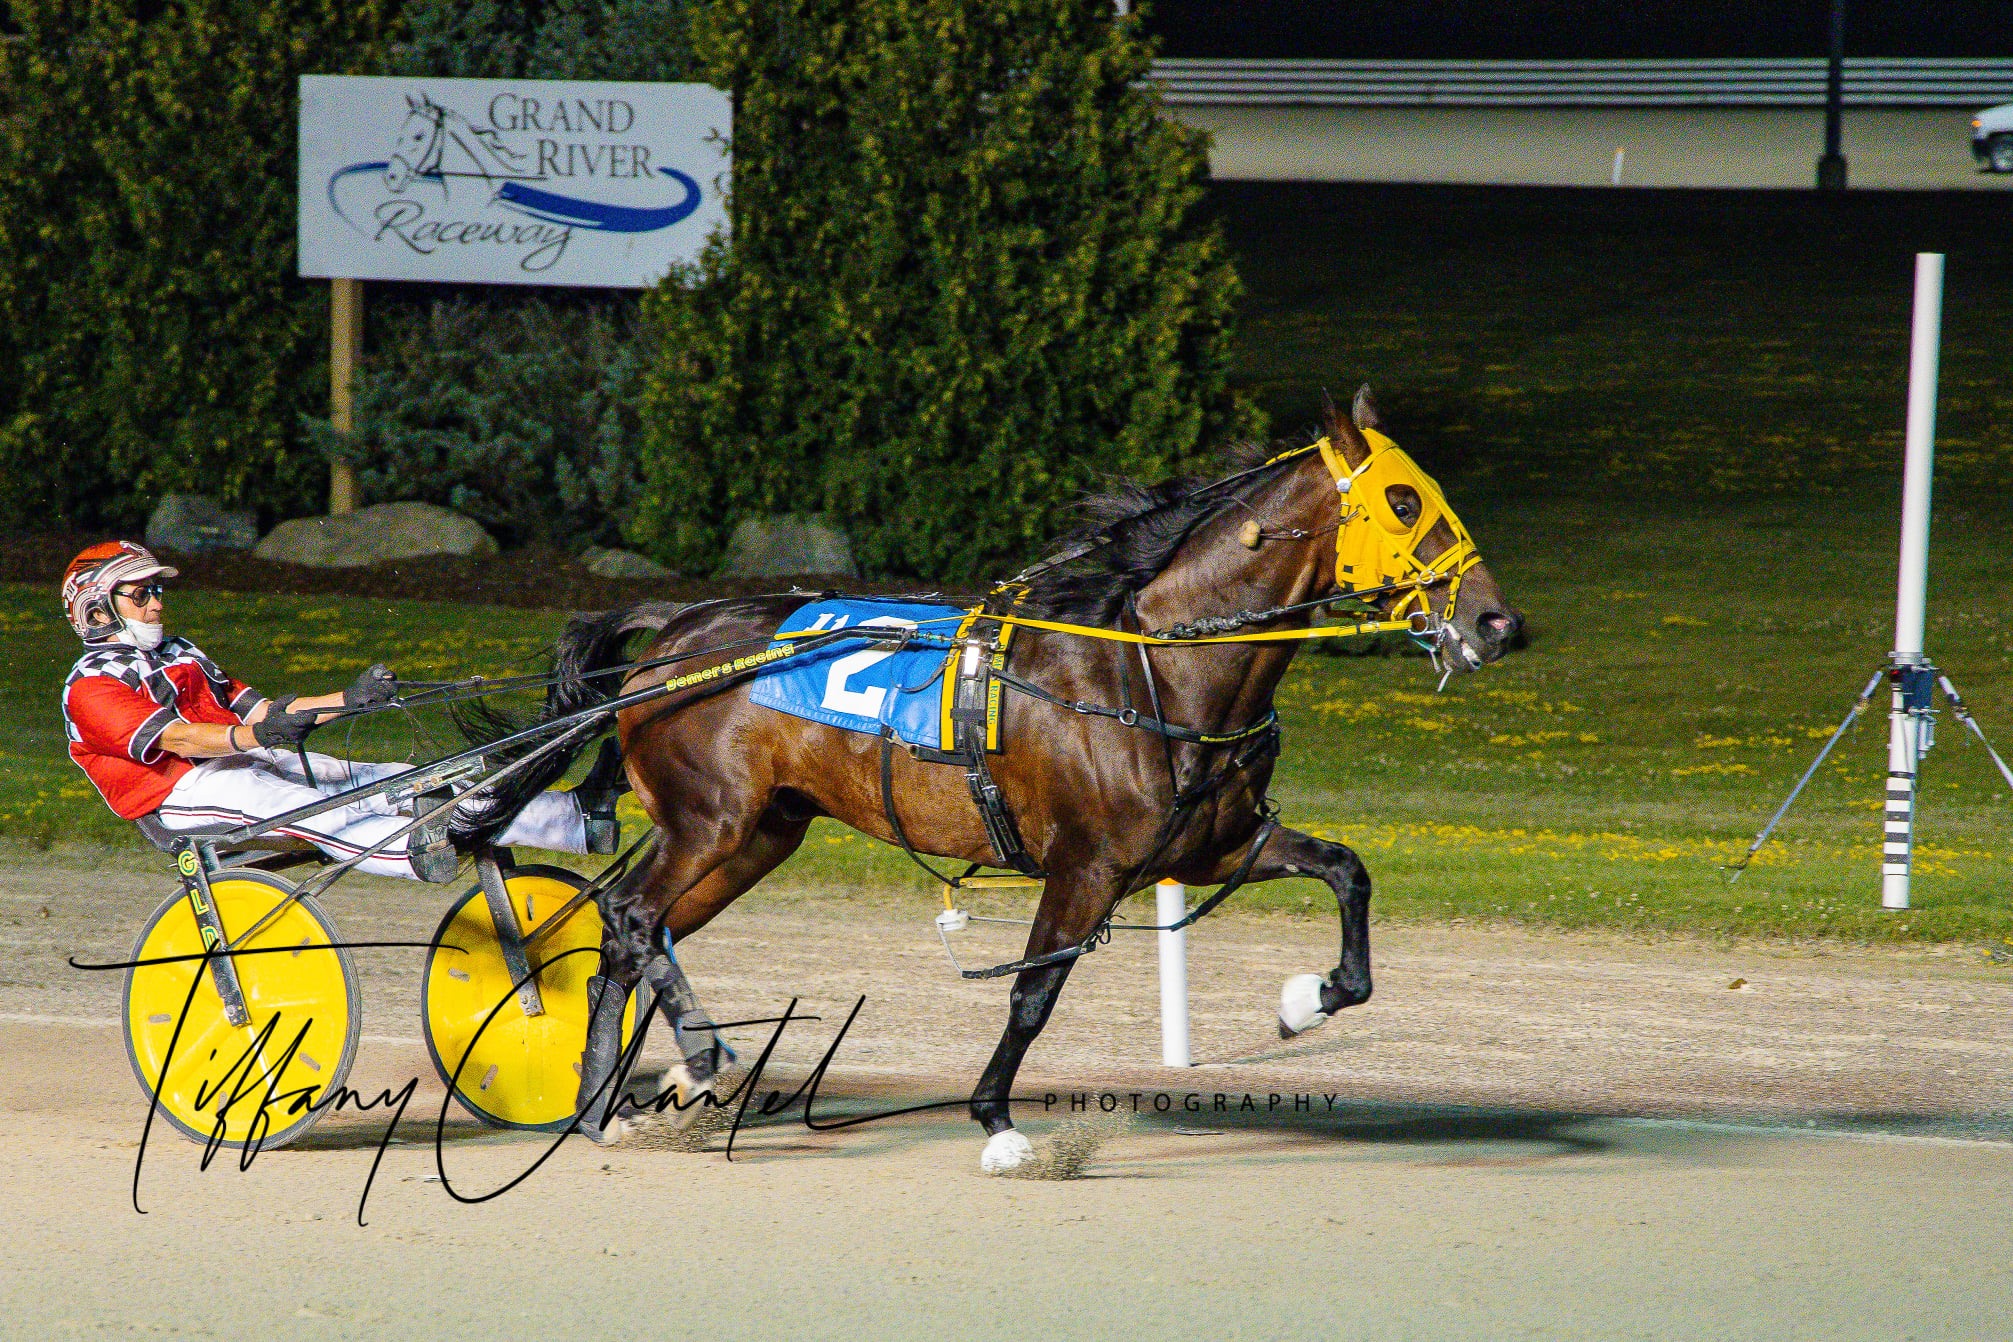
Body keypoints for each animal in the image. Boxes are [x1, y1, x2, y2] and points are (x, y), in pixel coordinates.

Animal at [462, 389, 1522, 1173]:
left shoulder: (1216, 843)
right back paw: (685, 1060)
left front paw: (1308, 999)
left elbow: (1346, 872)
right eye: (1403, 503)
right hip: (708, 822)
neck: (1154, 669)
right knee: (633, 914)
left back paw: (614, 1102)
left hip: (760, 833)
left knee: (632, 930)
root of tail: (677, 629)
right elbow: (1035, 992)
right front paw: (998, 1124)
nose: (1498, 623)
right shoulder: (1086, 865)